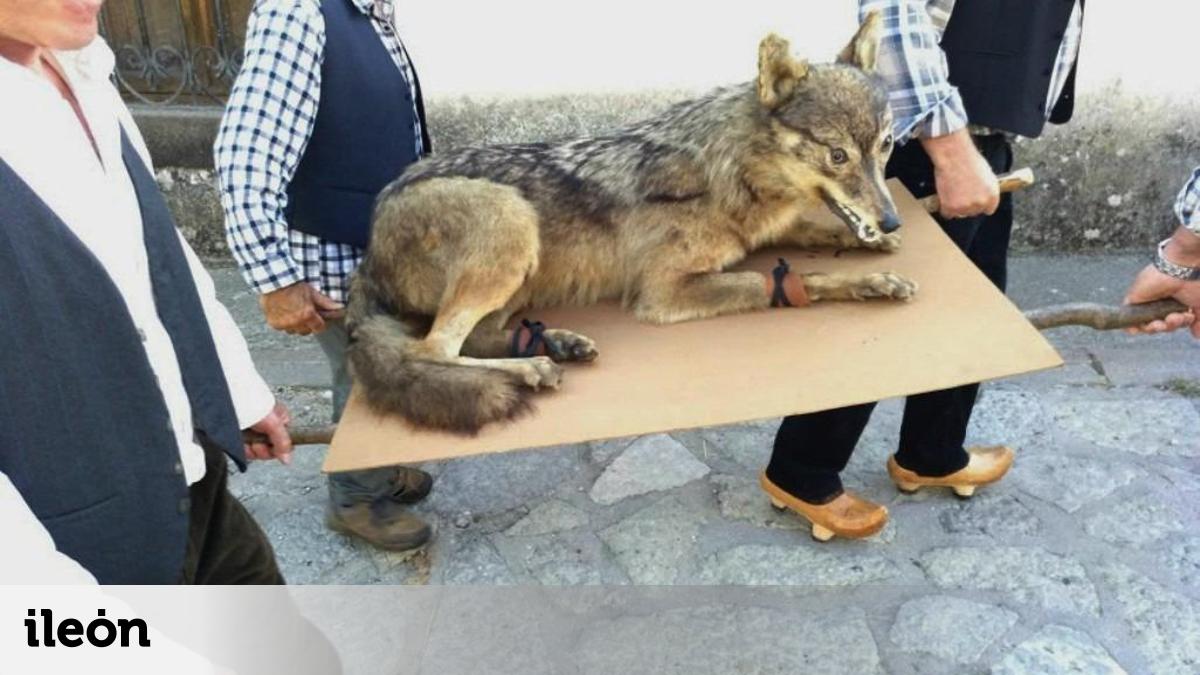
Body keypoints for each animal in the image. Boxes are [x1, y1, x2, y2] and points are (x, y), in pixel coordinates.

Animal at [346, 14, 916, 434]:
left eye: (886, 145)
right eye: (838, 156)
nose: (890, 220)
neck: (731, 170)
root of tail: (367, 251)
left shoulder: (765, 228)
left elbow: (812, 234)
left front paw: (875, 266)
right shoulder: (664, 292)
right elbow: (780, 279)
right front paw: (859, 276)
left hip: (518, 269)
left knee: (475, 338)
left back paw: (557, 344)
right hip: (512, 219)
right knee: (431, 349)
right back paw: (532, 366)